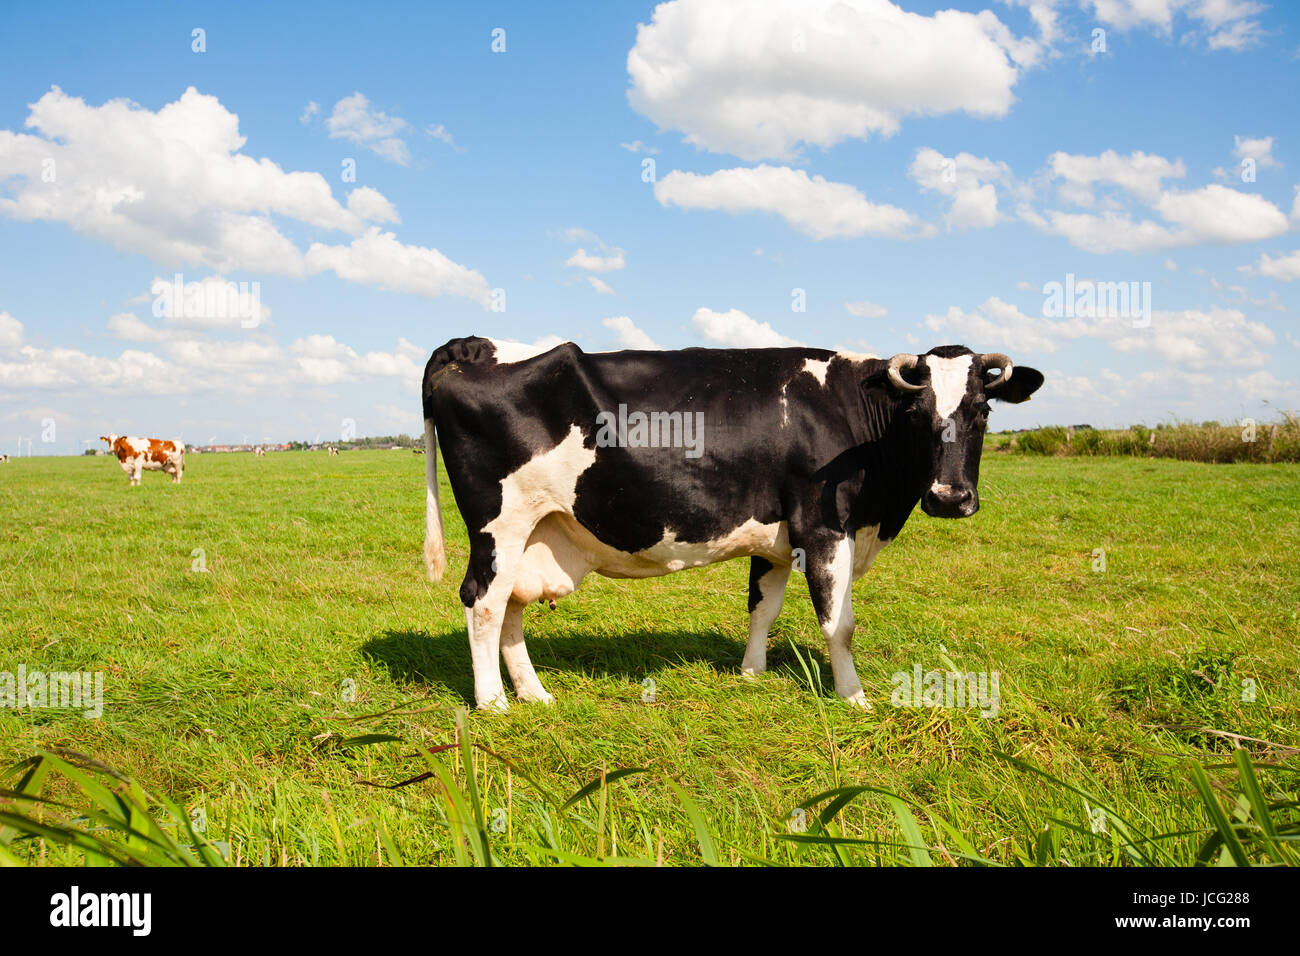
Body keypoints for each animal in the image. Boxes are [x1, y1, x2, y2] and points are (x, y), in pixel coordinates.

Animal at [420, 337, 1043, 711]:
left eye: (982, 411)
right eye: (915, 411)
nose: (949, 497)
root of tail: (470, 347)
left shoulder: (777, 539)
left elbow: (762, 606)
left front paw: (751, 674)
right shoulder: (824, 526)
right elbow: (838, 623)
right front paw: (854, 698)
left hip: (536, 530)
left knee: (510, 606)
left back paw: (535, 694)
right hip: (500, 525)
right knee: (482, 602)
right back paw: (493, 703)